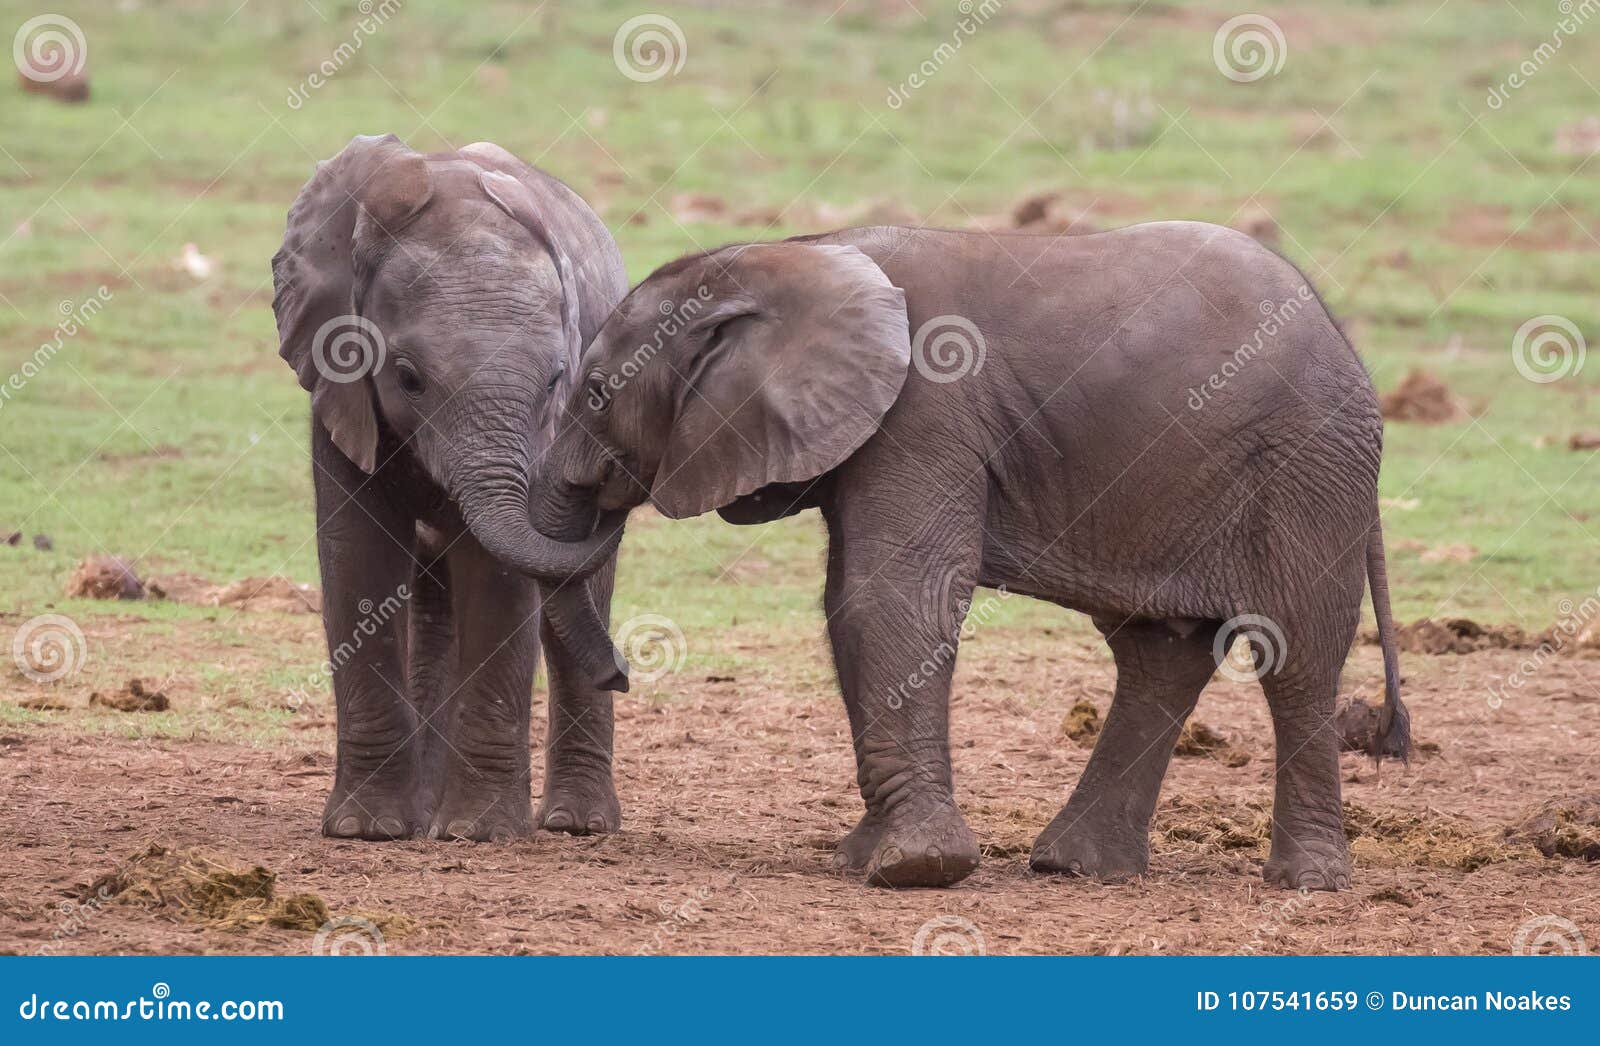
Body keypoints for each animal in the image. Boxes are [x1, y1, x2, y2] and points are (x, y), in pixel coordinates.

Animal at [270, 134, 632, 843]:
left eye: (558, 380)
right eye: (408, 378)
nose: (624, 672)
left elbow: (500, 579)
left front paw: (479, 834)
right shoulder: (336, 386)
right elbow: (358, 558)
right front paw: (367, 830)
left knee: (574, 607)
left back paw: (574, 824)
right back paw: (423, 815)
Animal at [517, 221, 1411, 890]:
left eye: (596, 393)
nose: (625, 672)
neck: (793, 254)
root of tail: (1346, 346)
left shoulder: (927, 407)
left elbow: (891, 595)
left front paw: (915, 870)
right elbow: (849, 604)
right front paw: (863, 856)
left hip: (1305, 469)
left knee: (1295, 653)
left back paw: (1304, 883)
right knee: (1158, 653)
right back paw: (1076, 868)